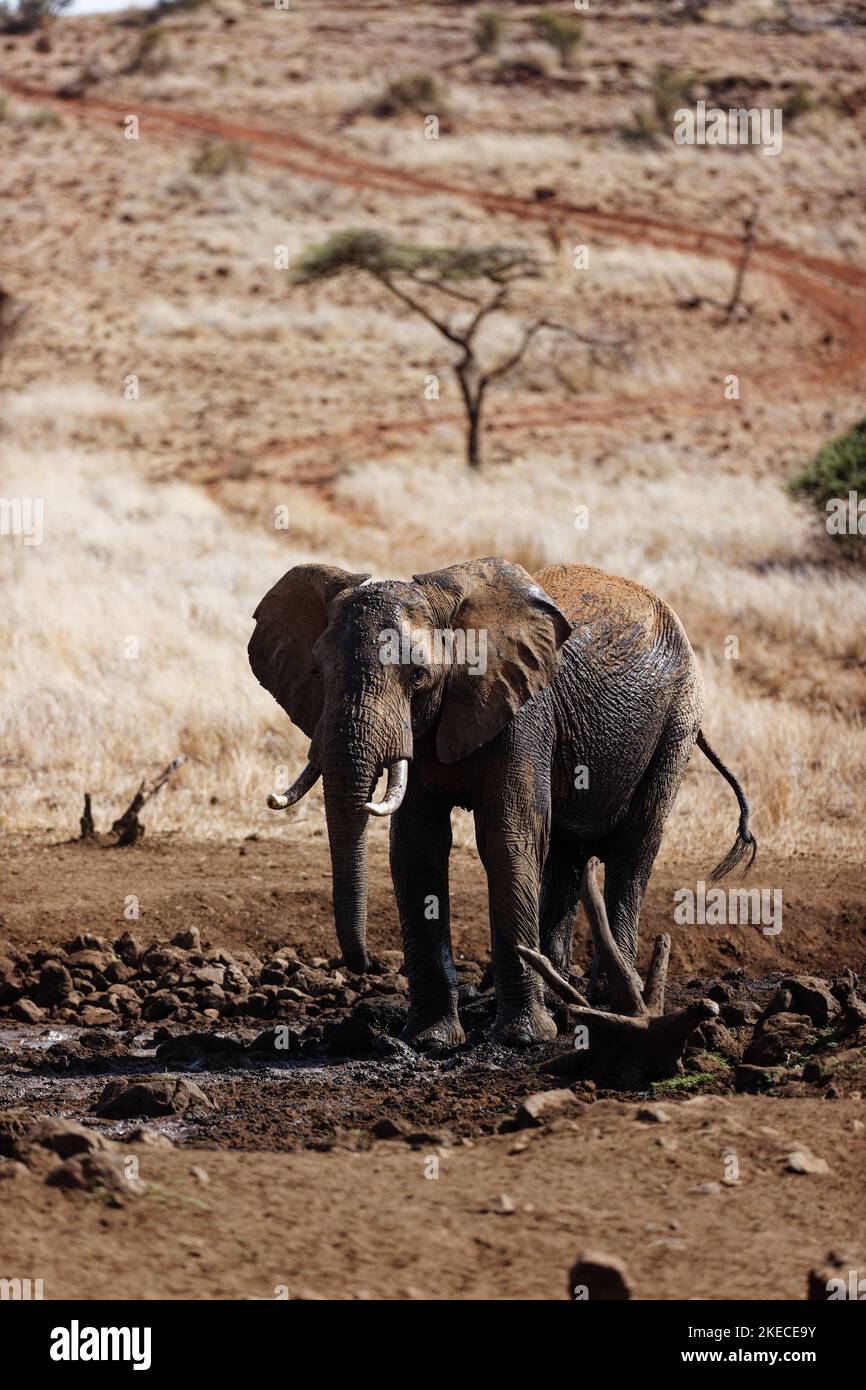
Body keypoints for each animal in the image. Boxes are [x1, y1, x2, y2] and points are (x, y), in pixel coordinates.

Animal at [248, 557, 756, 1049]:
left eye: (418, 676)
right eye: (318, 672)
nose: (364, 963)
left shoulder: (523, 715)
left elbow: (507, 840)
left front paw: (521, 1039)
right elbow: (416, 849)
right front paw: (431, 1042)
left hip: (679, 719)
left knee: (633, 849)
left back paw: (604, 1003)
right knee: (567, 853)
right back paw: (565, 1005)